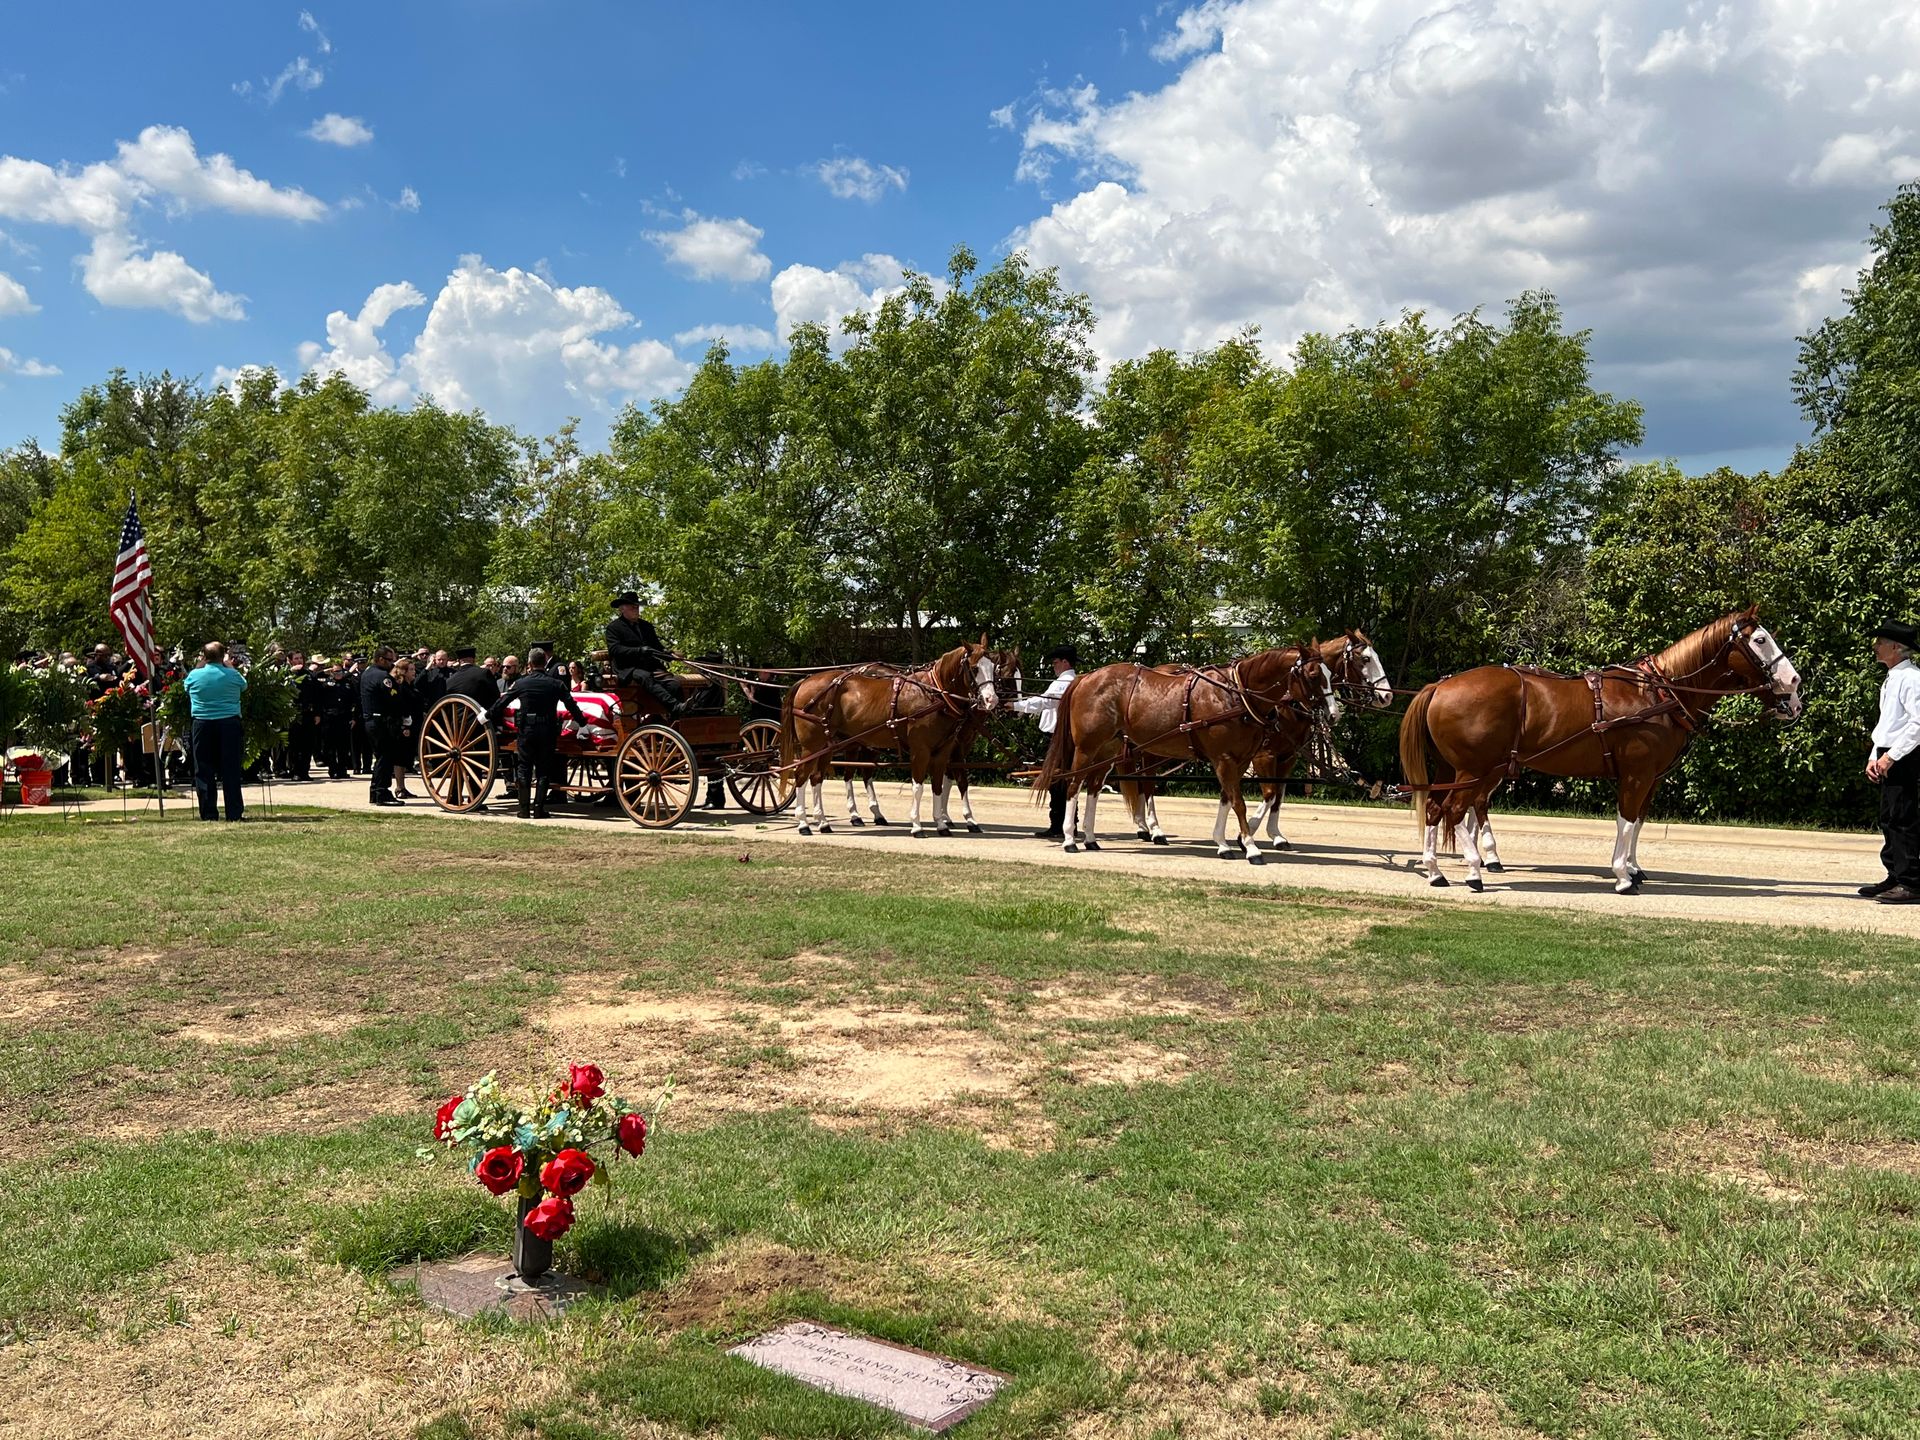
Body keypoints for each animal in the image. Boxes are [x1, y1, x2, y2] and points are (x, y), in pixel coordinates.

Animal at [781, 637, 999, 838]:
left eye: (993, 668)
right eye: (974, 668)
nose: (991, 700)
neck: (934, 695)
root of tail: (805, 681)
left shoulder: (942, 752)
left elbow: (937, 786)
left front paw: (941, 824)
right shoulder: (921, 750)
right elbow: (918, 787)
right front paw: (917, 826)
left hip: (827, 745)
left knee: (816, 778)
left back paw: (823, 822)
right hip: (812, 746)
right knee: (801, 776)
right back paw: (804, 823)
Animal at [1032, 642, 1330, 864]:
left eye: (1330, 674)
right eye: (1314, 675)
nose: (1331, 712)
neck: (1236, 695)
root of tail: (1086, 677)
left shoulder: (1238, 760)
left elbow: (1227, 799)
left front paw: (1224, 843)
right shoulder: (1226, 759)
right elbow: (1239, 802)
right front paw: (1251, 847)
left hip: (1107, 750)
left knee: (1093, 787)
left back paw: (1091, 839)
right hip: (1087, 747)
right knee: (1073, 785)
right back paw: (1070, 839)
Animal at [1123, 632, 1393, 849]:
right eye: (1365, 659)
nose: (1386, 696)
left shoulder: (1287, 757)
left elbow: (1278, 796)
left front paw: (1275, 835)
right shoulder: (1265, 755)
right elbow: (1269, 793)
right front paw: (1247, 833)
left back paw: (1143, 826)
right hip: (1152, 749)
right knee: (1147, 783)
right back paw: (1154, 829)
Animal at [1397, 607, 1802, 894]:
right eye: (1760, 640)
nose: (1795, 683)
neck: (1657, 692)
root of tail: (1441, 685)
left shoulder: (1650, 778)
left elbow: (1638, 822)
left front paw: (1635, 869)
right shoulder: (1636, 774)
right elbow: (1626, 819)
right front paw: (1623, 876)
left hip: (1451, 770)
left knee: (1434, 808)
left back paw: (1435, 872)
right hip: (1473, 770)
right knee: (1453, 811)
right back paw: (1473, 870)